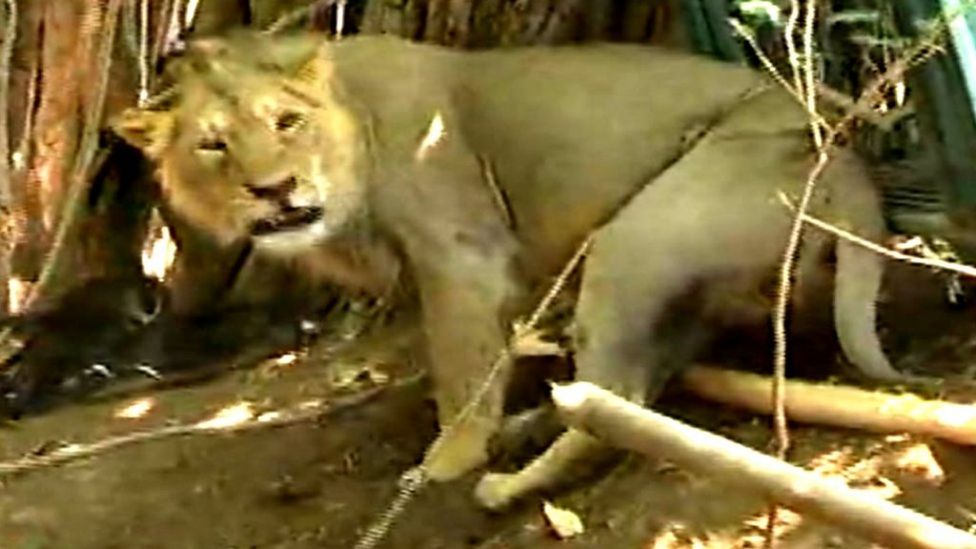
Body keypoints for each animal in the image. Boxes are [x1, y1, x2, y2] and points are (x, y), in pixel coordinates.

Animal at [112, 31, 904, 509]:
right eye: (213, 145)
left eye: (285, 121)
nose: (274, 190)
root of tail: (840, 153)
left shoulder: (462, 260)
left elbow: (460, 370)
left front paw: (449, 458)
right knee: (637, 385)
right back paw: (531, 425)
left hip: (635, 238)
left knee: (622, 399)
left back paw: (508, 484)